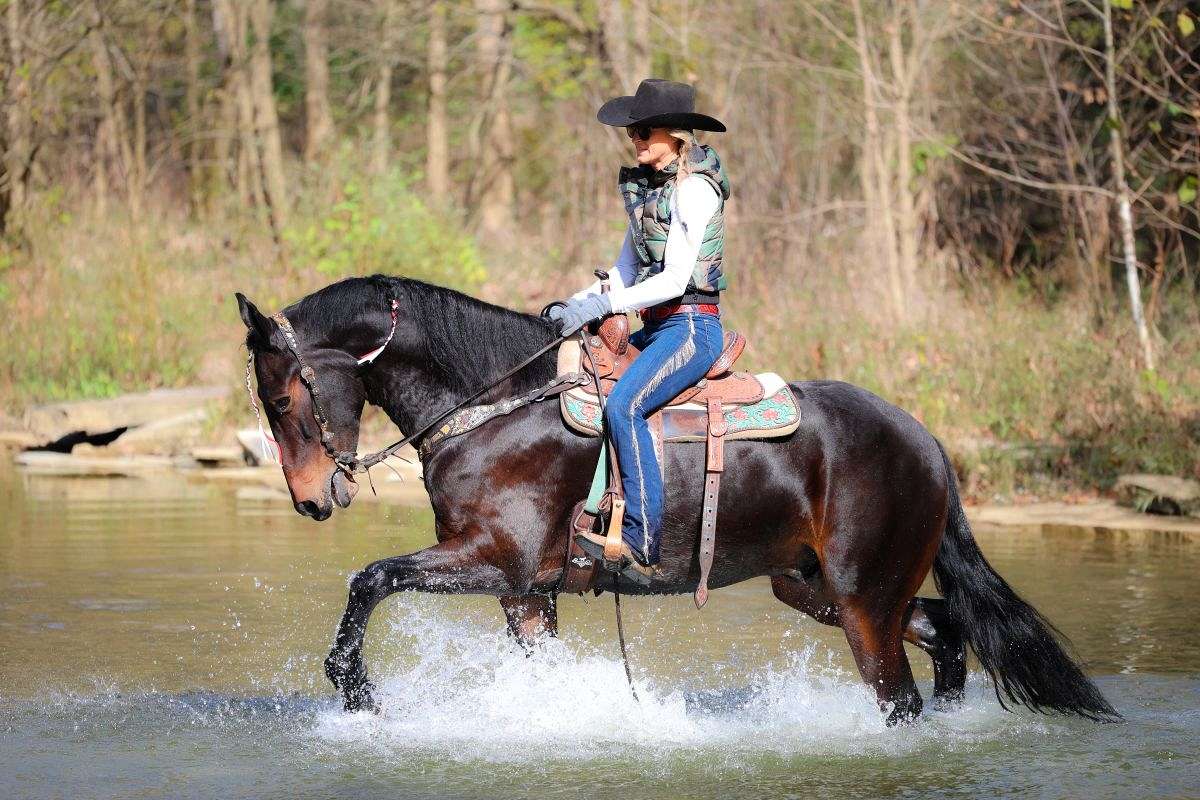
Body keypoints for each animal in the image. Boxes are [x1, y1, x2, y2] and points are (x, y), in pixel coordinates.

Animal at [235, 275, 1118, 725]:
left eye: (280, 401)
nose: (310, 500)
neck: (495, 403)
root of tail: (927, 441)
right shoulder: (527, 594)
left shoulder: (498, 562)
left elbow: (371, 579)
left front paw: (353, 685)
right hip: (816, 587)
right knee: (945, 630)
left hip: (863, 599)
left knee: (899, 691)